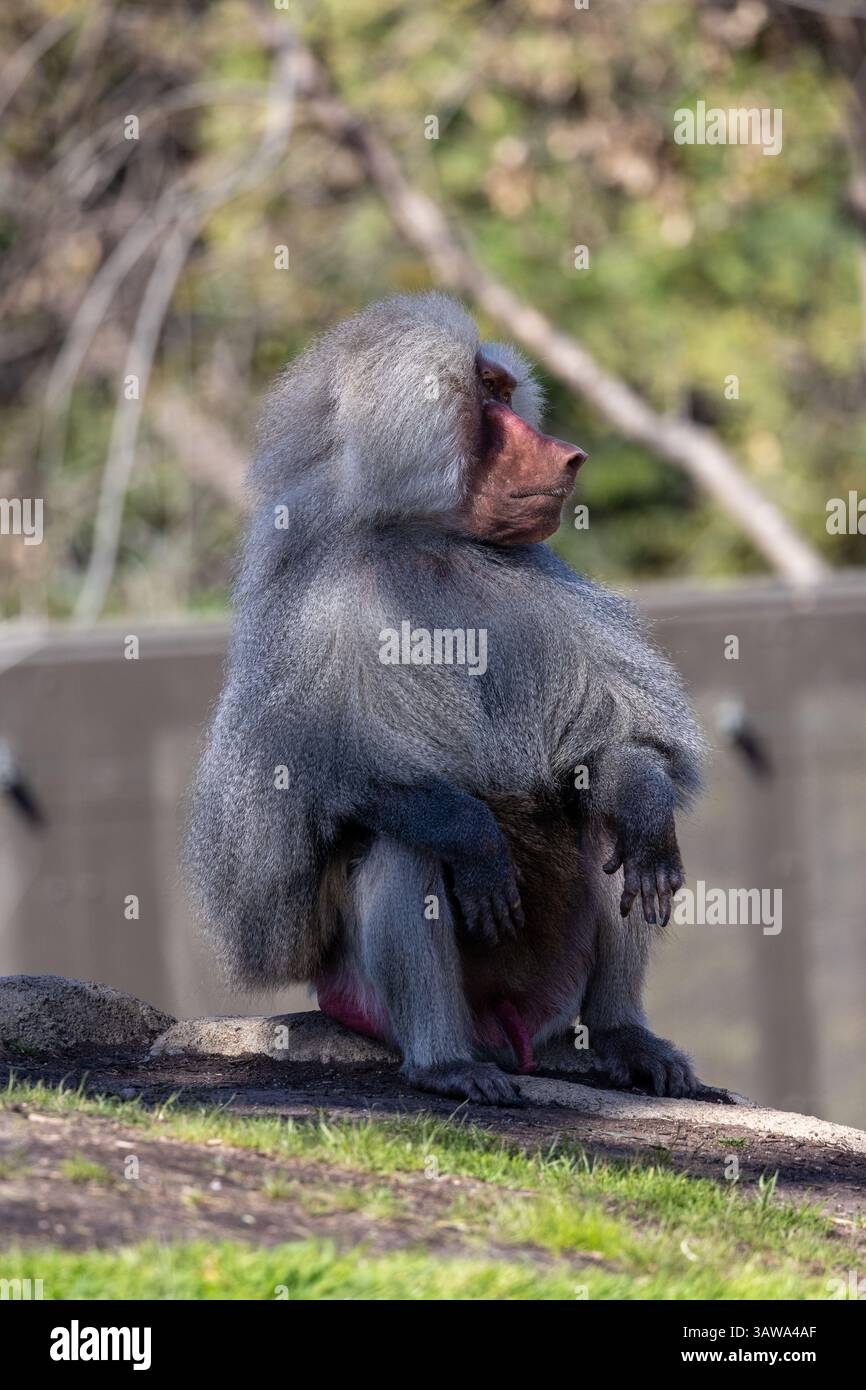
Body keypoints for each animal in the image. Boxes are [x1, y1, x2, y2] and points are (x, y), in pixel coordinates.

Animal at [185, 292, 705, 1105]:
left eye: (506, 392)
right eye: (485, 395)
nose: (570, 455)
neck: (426, 545)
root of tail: (507, 1034)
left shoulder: (540, 583)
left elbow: (620, 750)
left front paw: (649, 807)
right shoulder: (318, 612)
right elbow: (324, 789)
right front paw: (477, 844)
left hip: (553, 996)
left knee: (602, 817)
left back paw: (625, 1037)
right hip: (368, 1001)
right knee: (403, 844)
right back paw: (446, 1065)